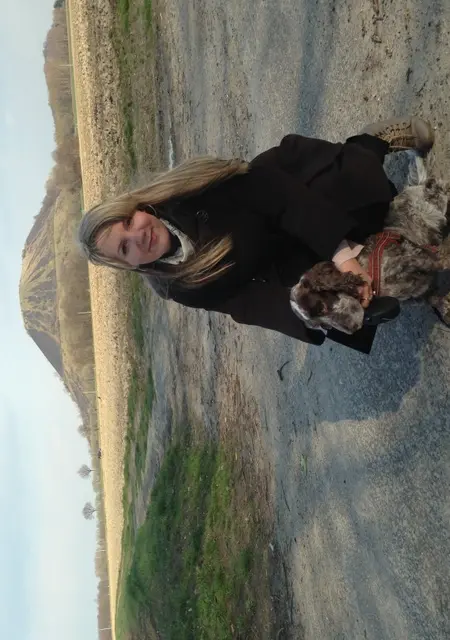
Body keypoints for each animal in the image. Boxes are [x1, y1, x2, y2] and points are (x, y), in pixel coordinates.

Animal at [290, 155, 450, 335]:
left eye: (322, 307)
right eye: (324, 326)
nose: (353, 329)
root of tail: (415, 187)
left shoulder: (412, 259)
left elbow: (441, 261)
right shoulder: (421, 290)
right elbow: (435, 298)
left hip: (434, 207)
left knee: (439, 186)